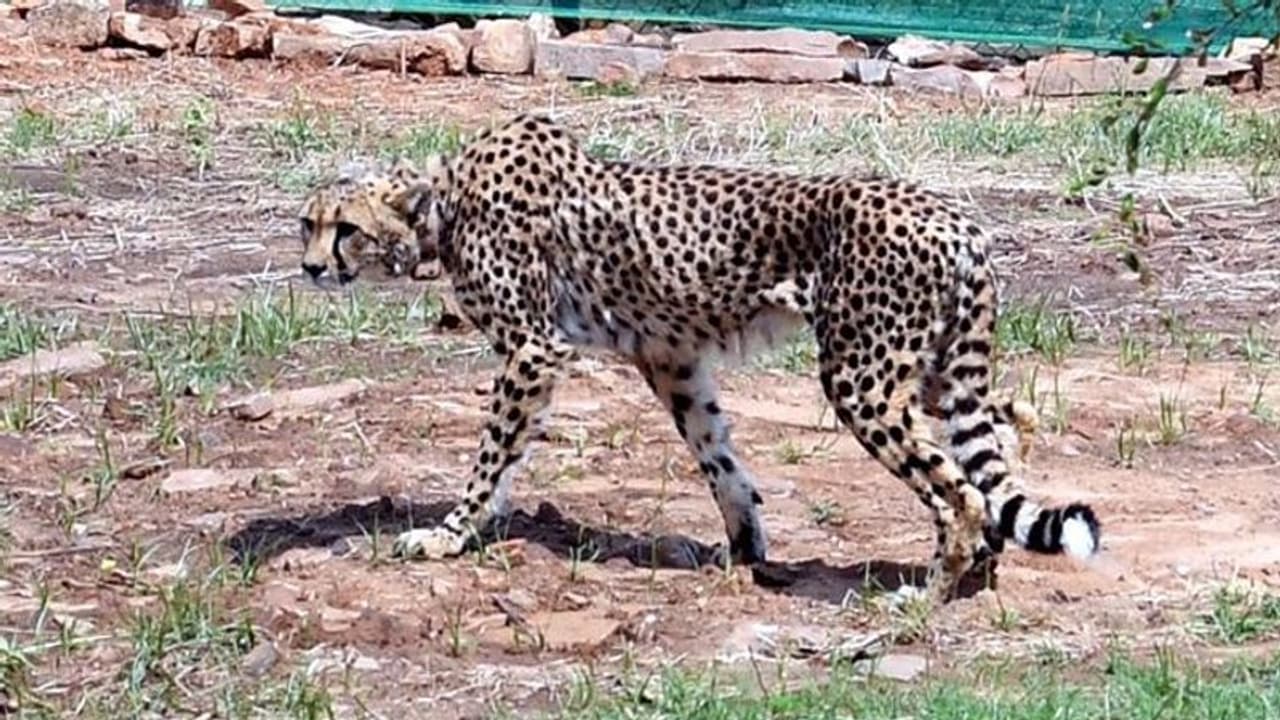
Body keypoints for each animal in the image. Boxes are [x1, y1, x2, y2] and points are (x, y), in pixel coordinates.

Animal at [296, 113, 1100, 606]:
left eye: (346, 229)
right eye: (308, 223)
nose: (309, 268)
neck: (445, 203)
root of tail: (958, 216)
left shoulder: (533, 350)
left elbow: (492, 458)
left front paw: (448, 535)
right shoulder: (670, 357)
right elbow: (718, 457)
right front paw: (744, 548)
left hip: (861, 377)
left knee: (959, 489)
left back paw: (927, 594)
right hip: (933, 369)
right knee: (995, 444)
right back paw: (982, 564)